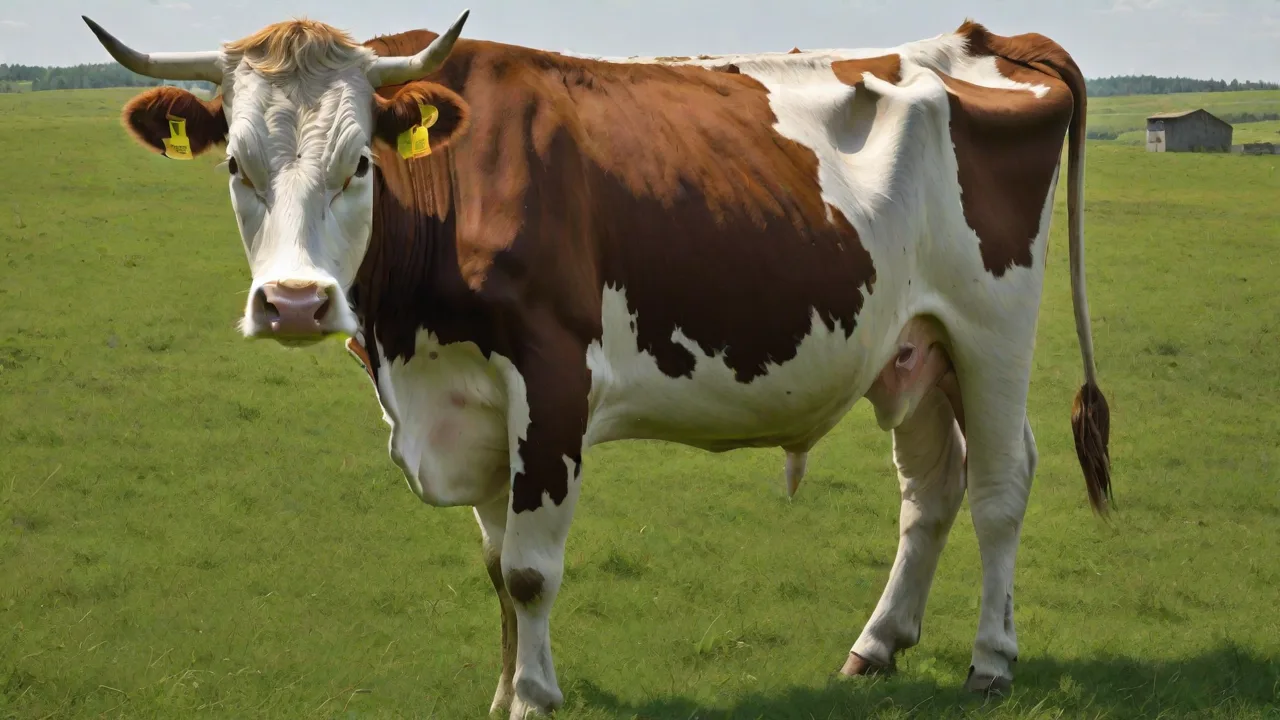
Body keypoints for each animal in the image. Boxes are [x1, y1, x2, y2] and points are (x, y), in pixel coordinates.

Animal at [82, 10, 1113, 718]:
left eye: (359, 165)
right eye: (236, 167)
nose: (295, 302)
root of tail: (984, 37)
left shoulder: (550, 379)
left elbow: (532, 572)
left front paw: (535, 700)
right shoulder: (473, 404)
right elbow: (496, 566)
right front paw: (505, 691)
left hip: (991, 327)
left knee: (1001, 484)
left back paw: (990, 659)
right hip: (915, 343)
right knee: (932, 487)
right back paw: (878, 644)